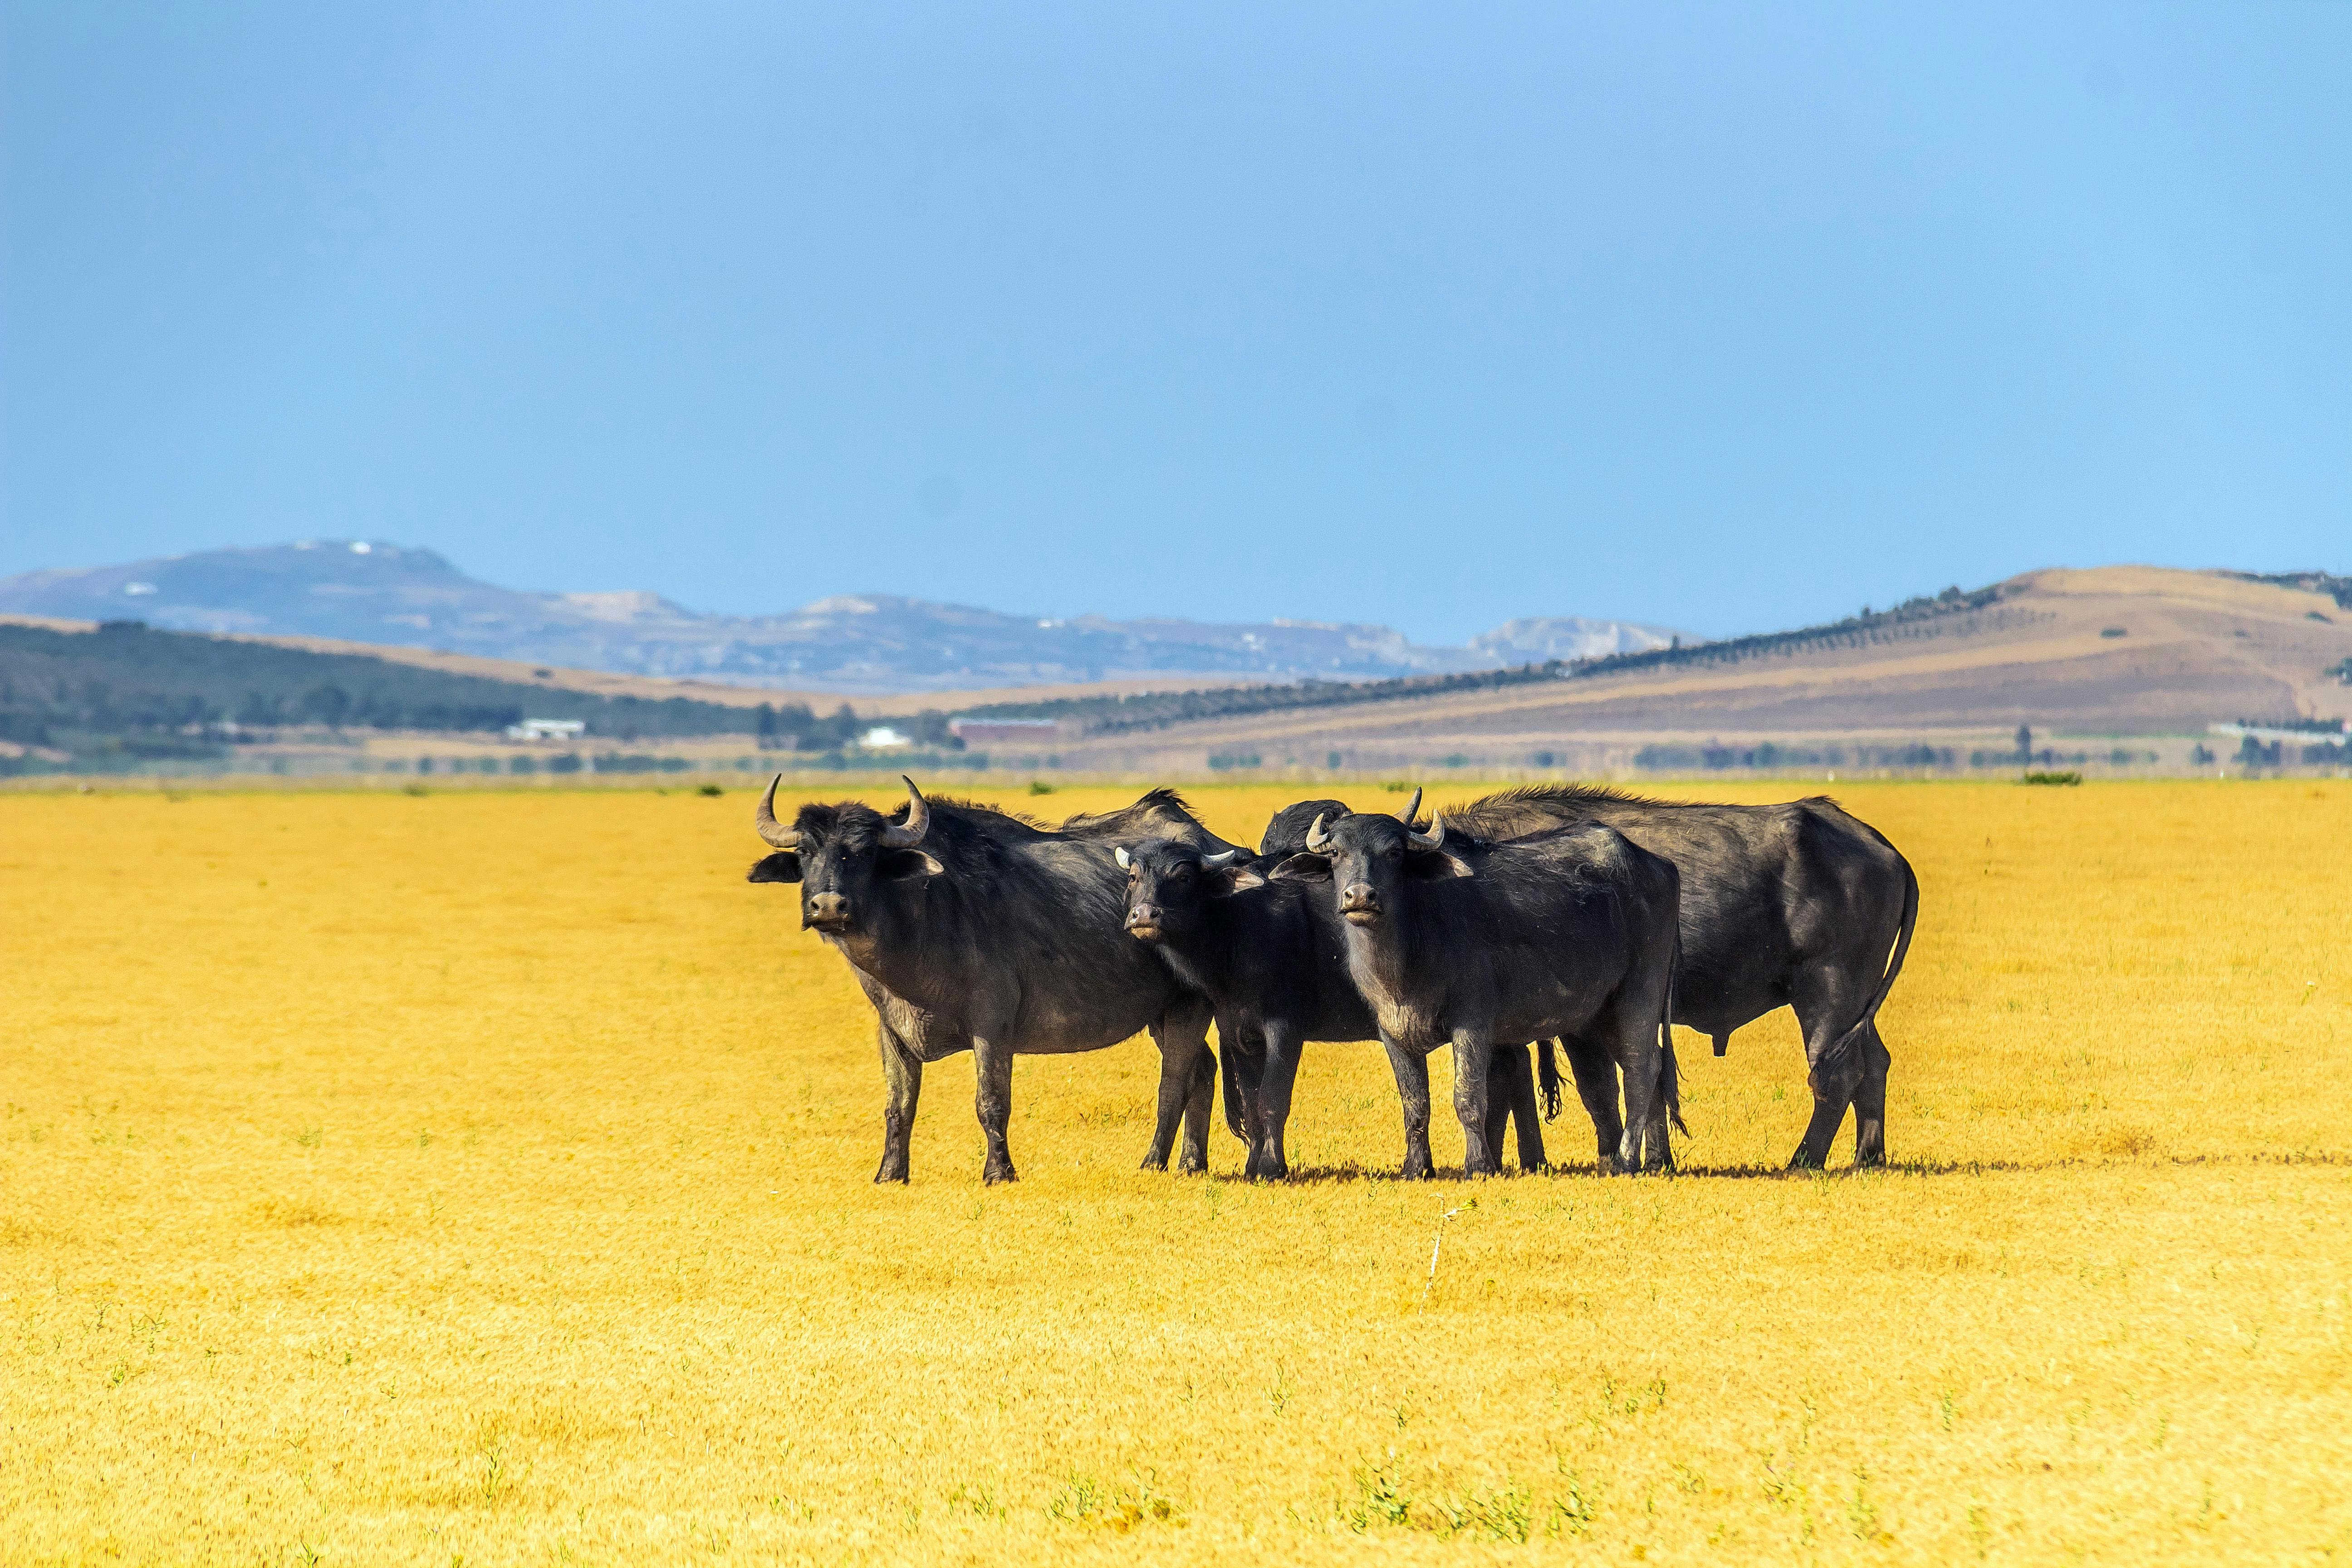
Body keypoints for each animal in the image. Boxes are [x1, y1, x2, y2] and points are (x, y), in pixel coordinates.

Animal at [746, 775, 1241, 1184]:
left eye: (865, 853)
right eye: (806, 852)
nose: (828, 907)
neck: (921, 920)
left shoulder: (993, 1027)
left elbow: (992, 1102)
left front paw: (999, 1172)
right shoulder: (892, 1032)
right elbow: (898, 1107)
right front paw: (890, 1173)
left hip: (1190, 1005)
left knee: (1175, 1081)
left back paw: (1155, 1163)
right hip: (1161, 1013)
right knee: (1202, 1072)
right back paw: (1192, 1164)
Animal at [1268, 806, 1684, 1178]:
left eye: (1394, 853)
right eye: (1336, 853)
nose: (1359, 897)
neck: (1409, 955)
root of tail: (1661, 867)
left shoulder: (1472, 1025)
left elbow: (1468, 1097)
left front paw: (1478, 1166)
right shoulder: (1393, 1034)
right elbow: (1415, 1105)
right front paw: (1416, 1169)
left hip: (1639, 992)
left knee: (1641, 1069)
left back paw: (1628, 1161)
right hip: (1598, 1011)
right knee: (1648, 1064)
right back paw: (1656, 1161)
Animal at [1403, 786, 1918, 1170]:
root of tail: (1883, 847)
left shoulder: (1573, 1022)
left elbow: (1592, 1085)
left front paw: (1606, 1157)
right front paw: (1652, 1159)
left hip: (1828, 994)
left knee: (1838, 1072)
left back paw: (1804, 1160)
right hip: (1857, 1005)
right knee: (1875, 1062)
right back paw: (1868, 1156)